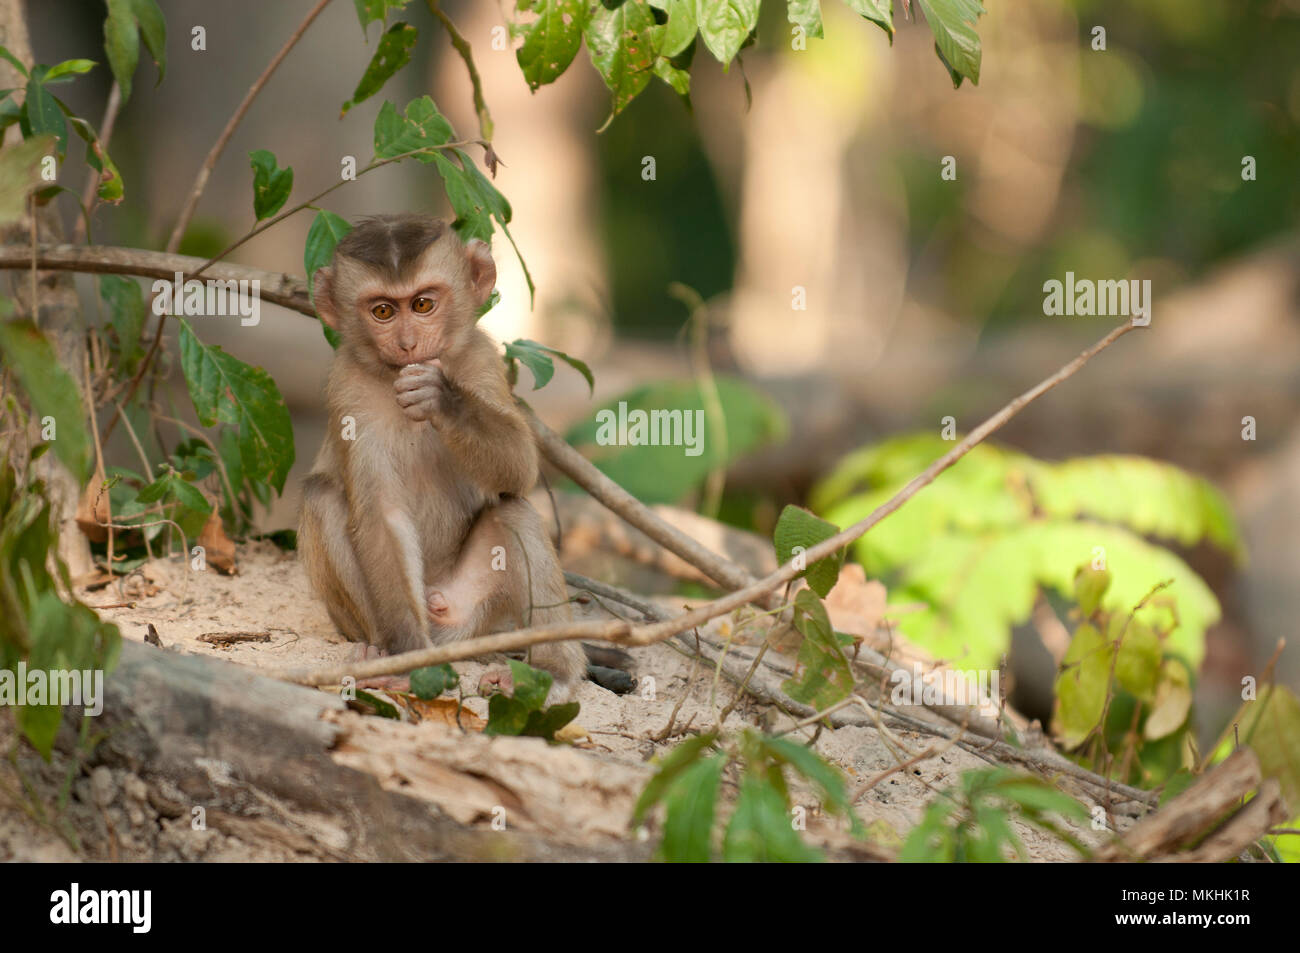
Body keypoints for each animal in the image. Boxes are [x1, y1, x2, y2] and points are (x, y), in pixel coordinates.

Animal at [298, 214, 587, 698]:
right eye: (382, 311)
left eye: (423, 304)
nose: (409, 343)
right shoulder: (347, 387)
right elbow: (382, 516)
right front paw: (410, 658)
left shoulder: (480, 359)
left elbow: (520, 467)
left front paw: (441, 398)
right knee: (321, 497)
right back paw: (384, 653)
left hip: (473, 611)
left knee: (513, 512)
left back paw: (553, 669)